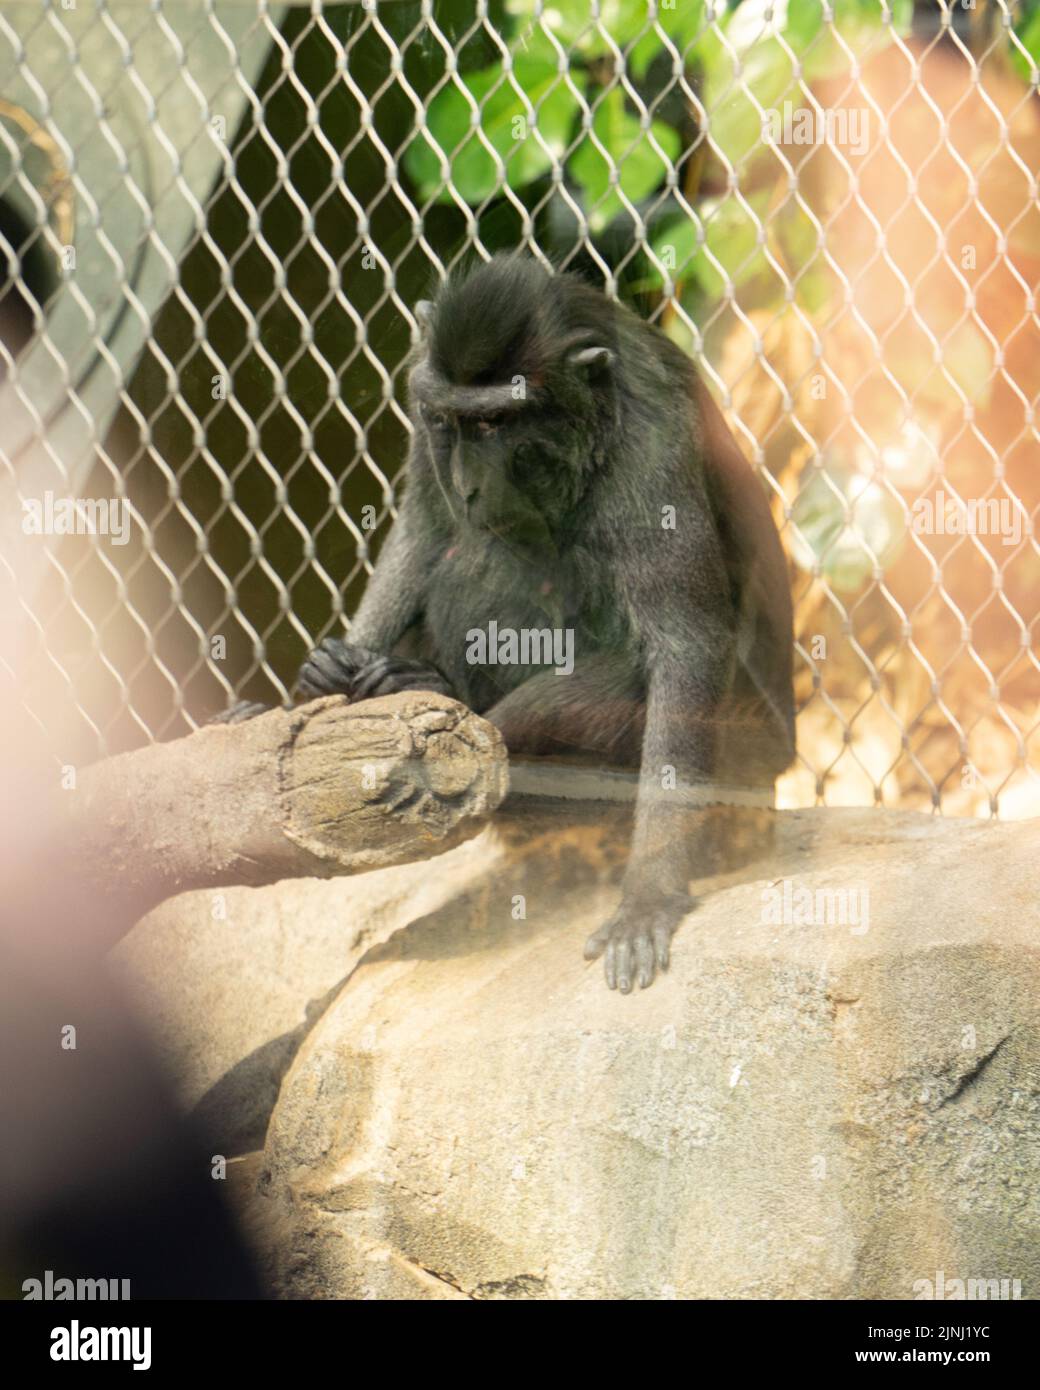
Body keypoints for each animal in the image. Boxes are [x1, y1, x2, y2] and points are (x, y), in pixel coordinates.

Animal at [218, 255, 795, 992]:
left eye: (496, 424)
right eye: (450, 420)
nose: (470, 483)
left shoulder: (652, 438)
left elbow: (683, 648)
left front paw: (650, 894)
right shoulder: (424, 405)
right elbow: (425, 528)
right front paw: (323, 683)